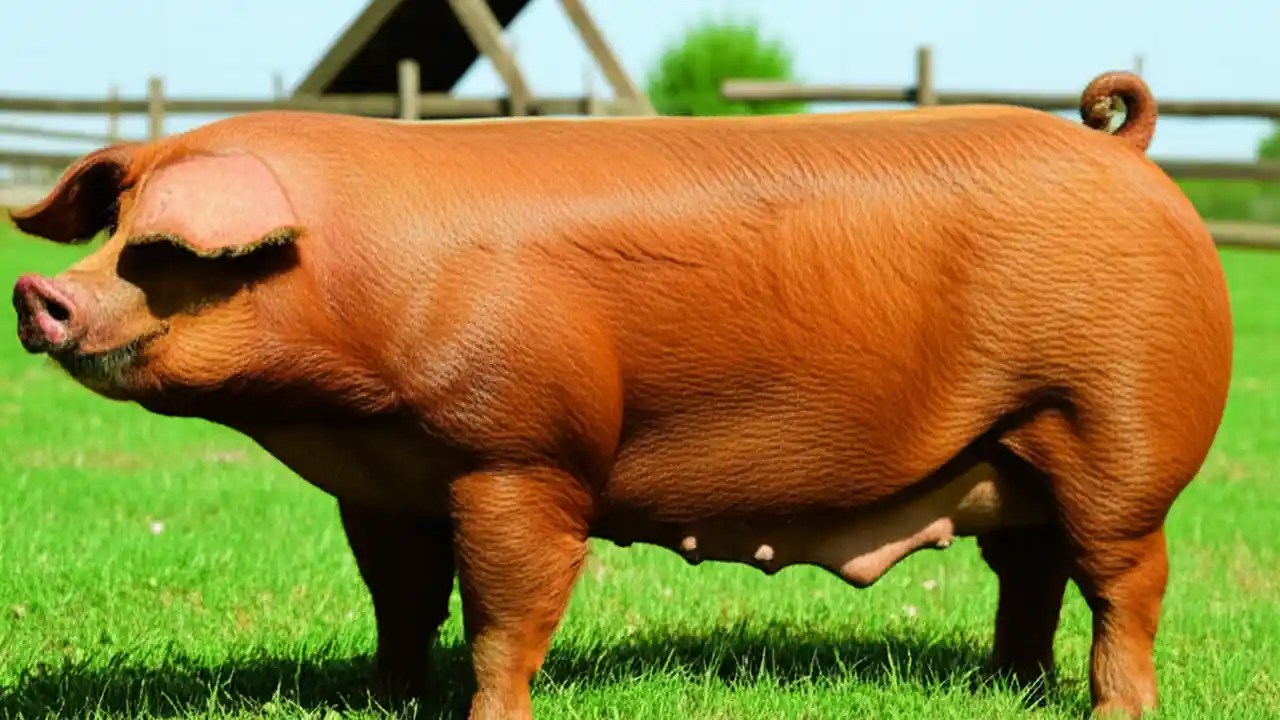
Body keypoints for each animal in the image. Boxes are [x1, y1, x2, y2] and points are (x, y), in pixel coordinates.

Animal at [9, 69, 1232, 719]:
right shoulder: (385, 485)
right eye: (110, 228)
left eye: (163, 253)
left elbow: (508, 613)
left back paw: (1110, 709)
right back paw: (1004, 686)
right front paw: (383, 697)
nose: (37, 291)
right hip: (1008, 450)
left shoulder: (522, 455)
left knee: (1124, 581)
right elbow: (400, 598)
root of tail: (1127, 152)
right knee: (1029, 574)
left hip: (1113, 432)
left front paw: (483, 713)